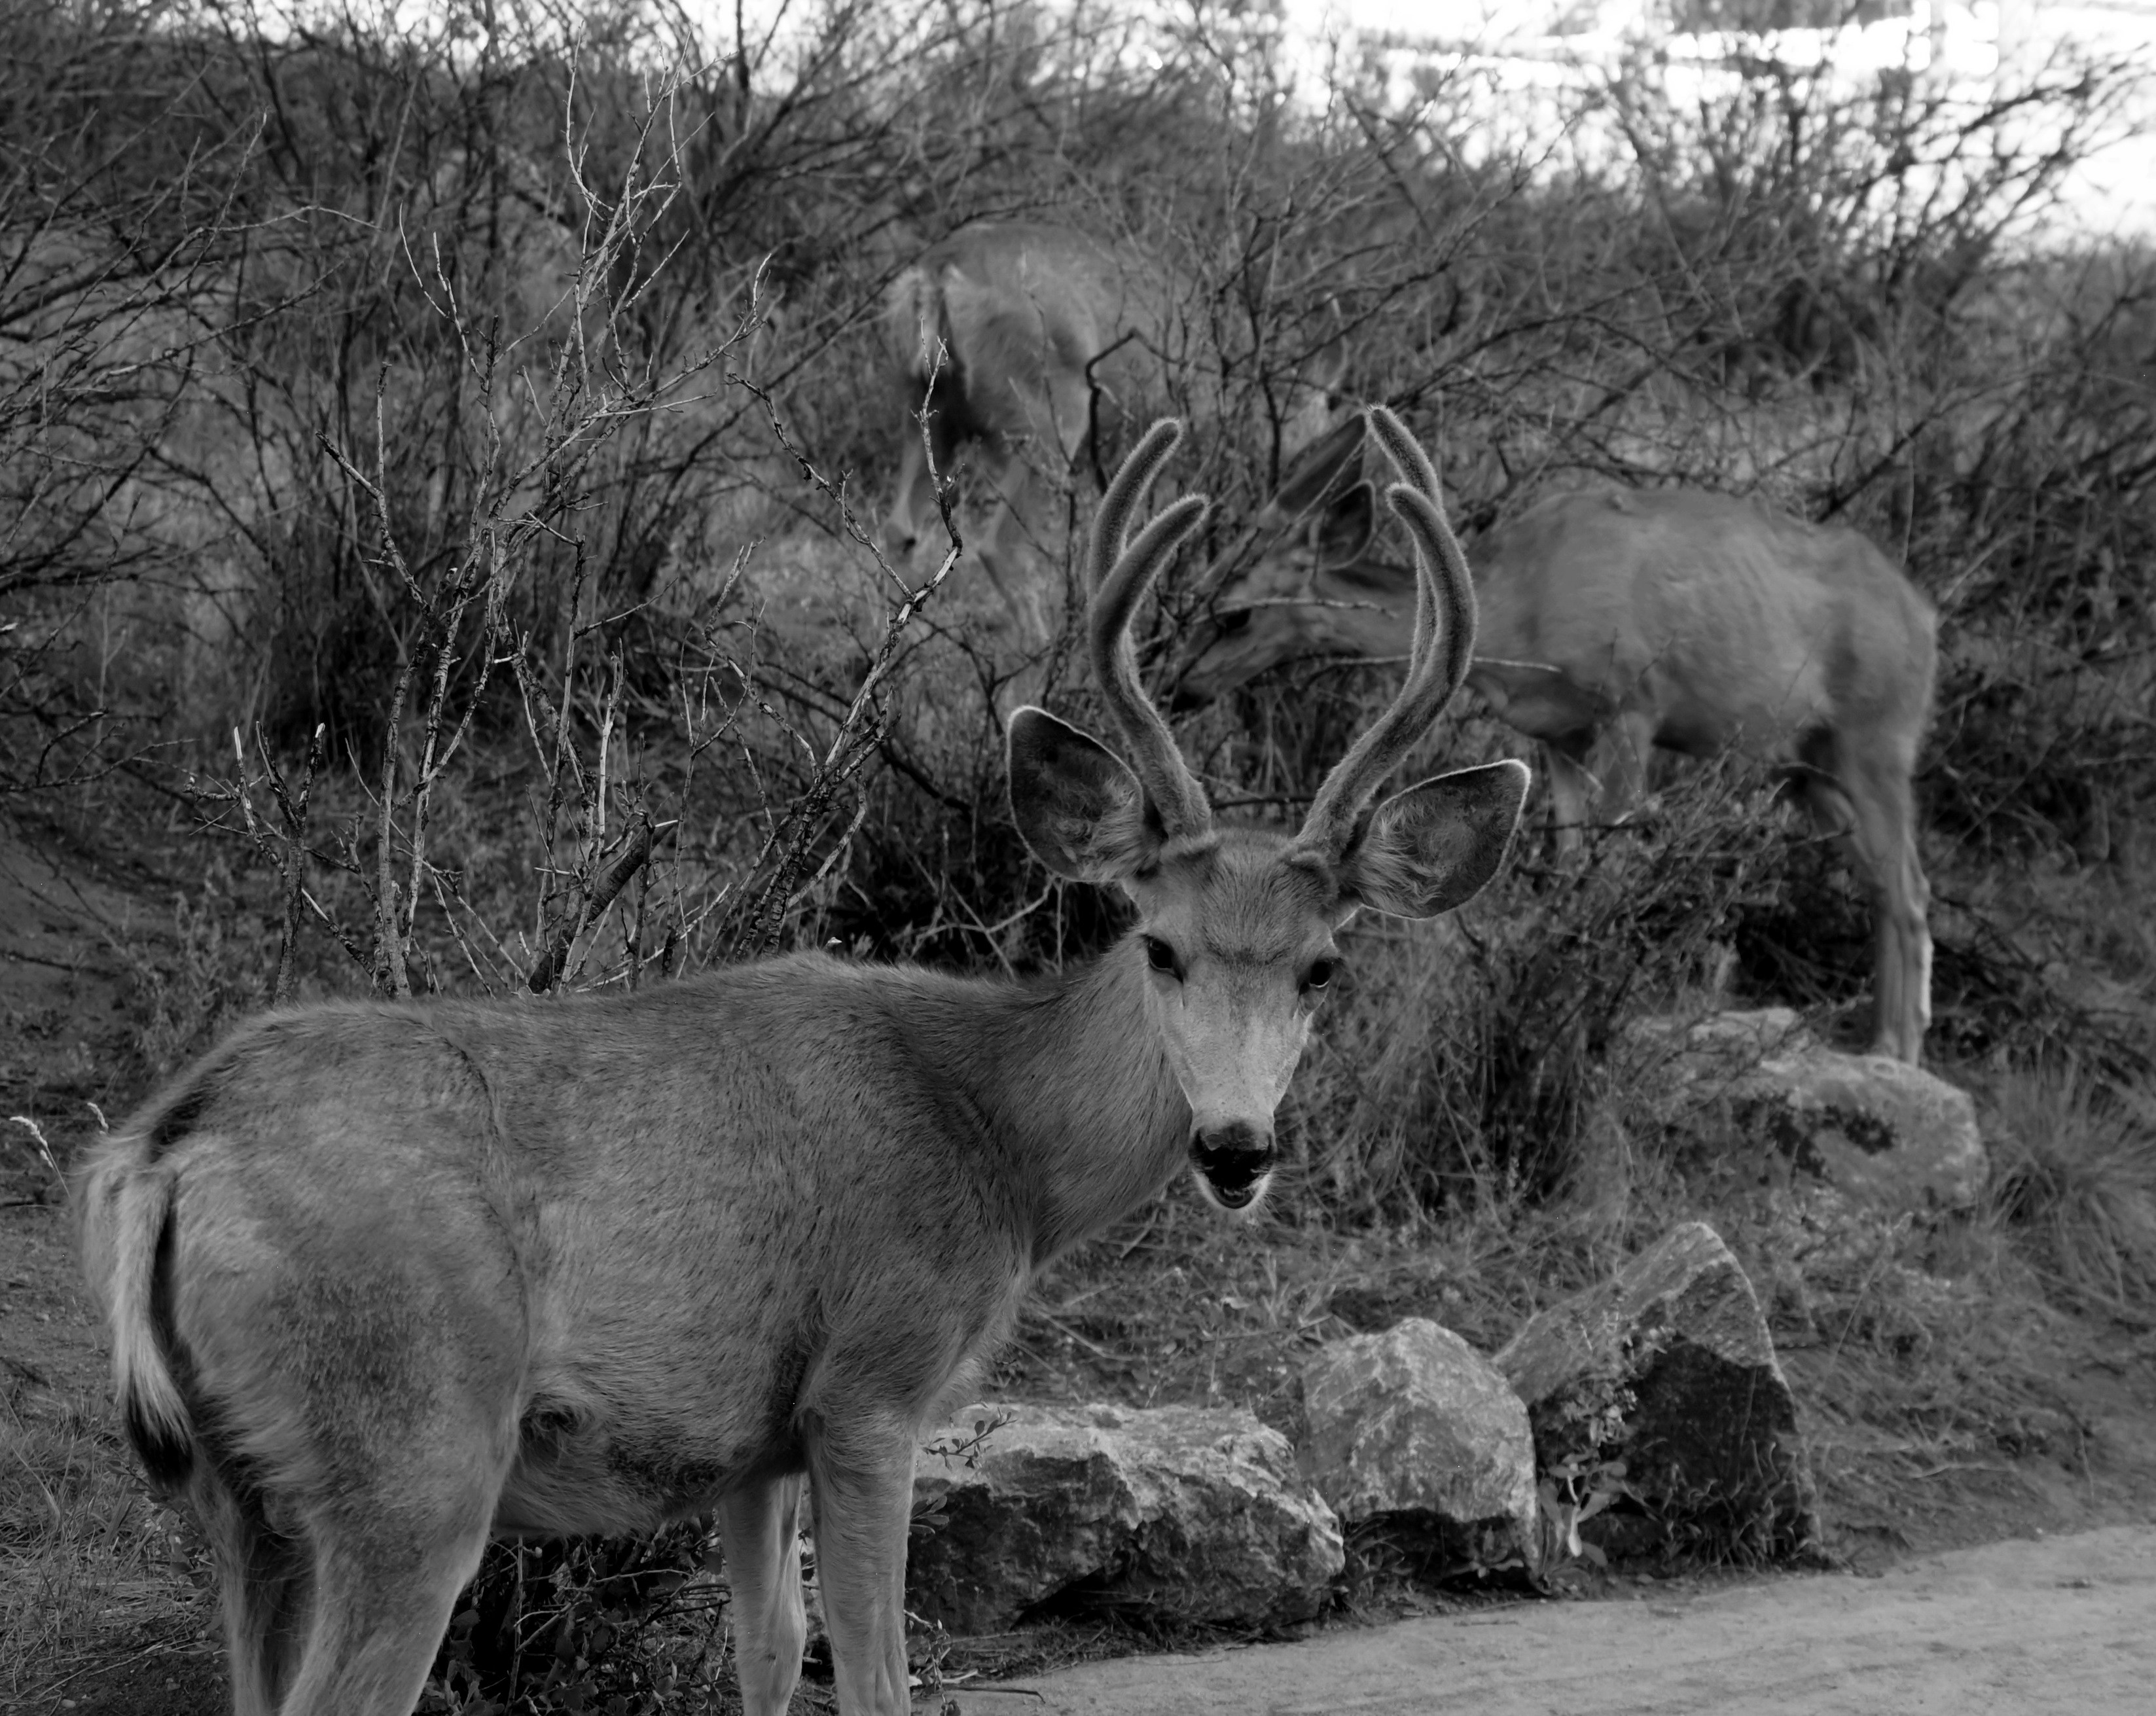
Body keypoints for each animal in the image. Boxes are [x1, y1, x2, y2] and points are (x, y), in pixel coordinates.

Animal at [76, 409, 1527, 1716]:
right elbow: (875, 1677)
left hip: (246, 1496)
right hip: (413, 1453)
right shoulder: (867, 1385)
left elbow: (768, 1657)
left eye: (1321, 968)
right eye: (1159, 944)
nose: (1235, 1147)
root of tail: (169, 1148)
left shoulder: (747, 1447)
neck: (994, 1138)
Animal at [1176, 416, 1937, 1066]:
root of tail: (1925, 614)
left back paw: (1894, 1052)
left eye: (1235, 615)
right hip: (1807, 766)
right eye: (1202, 582)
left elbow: (1614, 867)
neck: (1521, 607)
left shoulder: (1631, 707)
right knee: (1884, 879)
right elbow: (1570, 865)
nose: (1182, 687)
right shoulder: (1558, 736)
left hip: (1878, 739)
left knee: (1907, 887)